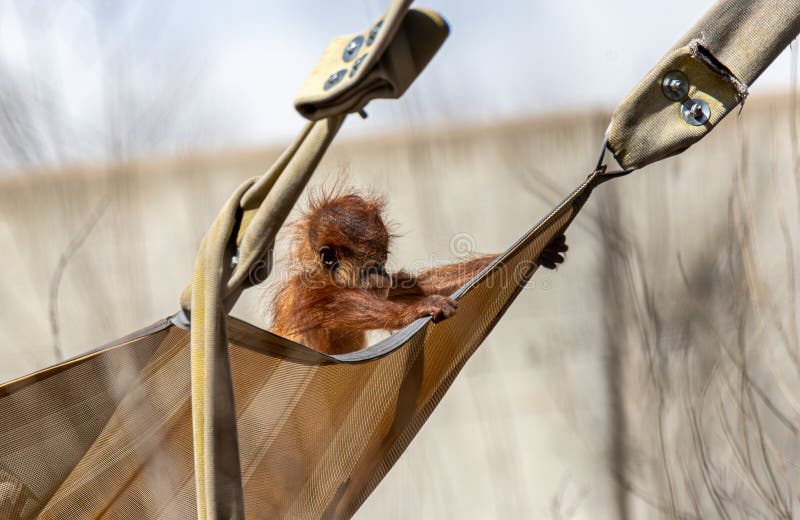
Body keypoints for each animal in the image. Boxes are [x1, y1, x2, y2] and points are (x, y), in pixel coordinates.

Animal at [269, 191, 567, 355]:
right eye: (370, 261)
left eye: (383, 257)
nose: (380, 270)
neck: (328, 278)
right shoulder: (309, 295)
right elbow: (340, 306)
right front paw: (417, 310)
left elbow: (414, 284)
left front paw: (544, 249)